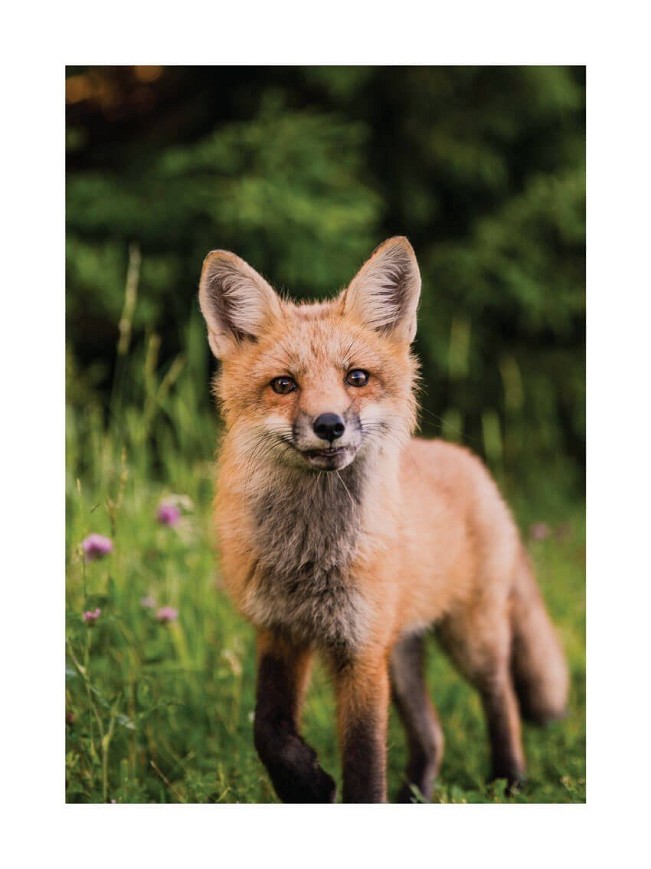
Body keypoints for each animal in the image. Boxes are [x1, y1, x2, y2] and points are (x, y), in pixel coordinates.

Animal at [198, 236, 569, 803]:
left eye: (356, 378)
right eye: (283, 384)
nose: (329, 424)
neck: (310, 557)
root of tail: (469, 461)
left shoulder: (361, 649)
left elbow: (365, 761)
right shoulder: (280, 631)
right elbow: (268, 729)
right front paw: (306, 783)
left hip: (471, 638)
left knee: (501, 695)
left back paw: (510, 778)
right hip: (403, 653)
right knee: (433, 735)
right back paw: (418, 792)